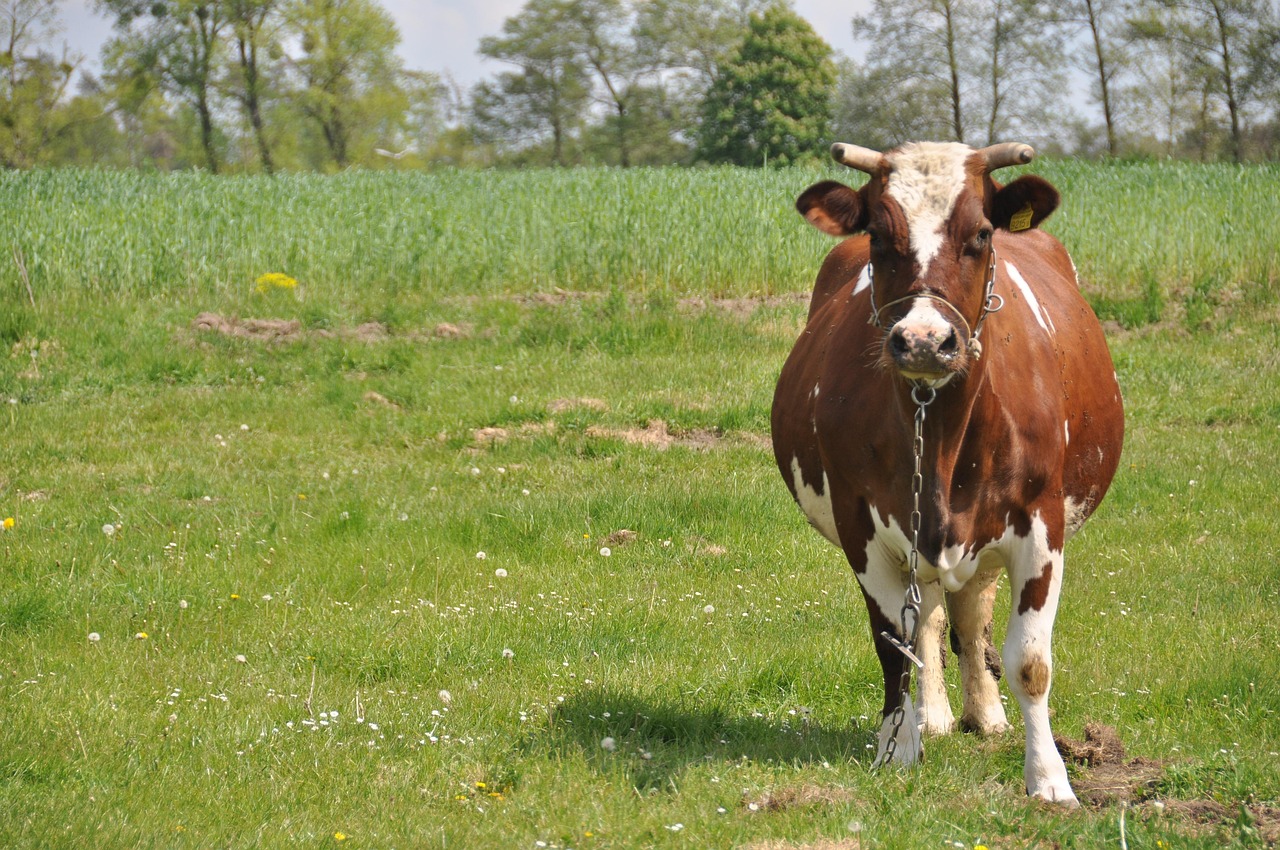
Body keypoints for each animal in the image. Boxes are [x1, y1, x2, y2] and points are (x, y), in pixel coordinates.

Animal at [771, 141, 1124, 805]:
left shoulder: (1042, 525)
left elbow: (1029, 660)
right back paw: (935, 715)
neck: (936, 430)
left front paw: (1049, 777)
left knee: (970, 610)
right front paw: (897, 749)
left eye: (981, 233)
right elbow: (895, 645)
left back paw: (985, 715)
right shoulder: (864, 529)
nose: (924, 341)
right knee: (933, 615)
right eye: (878, 234)